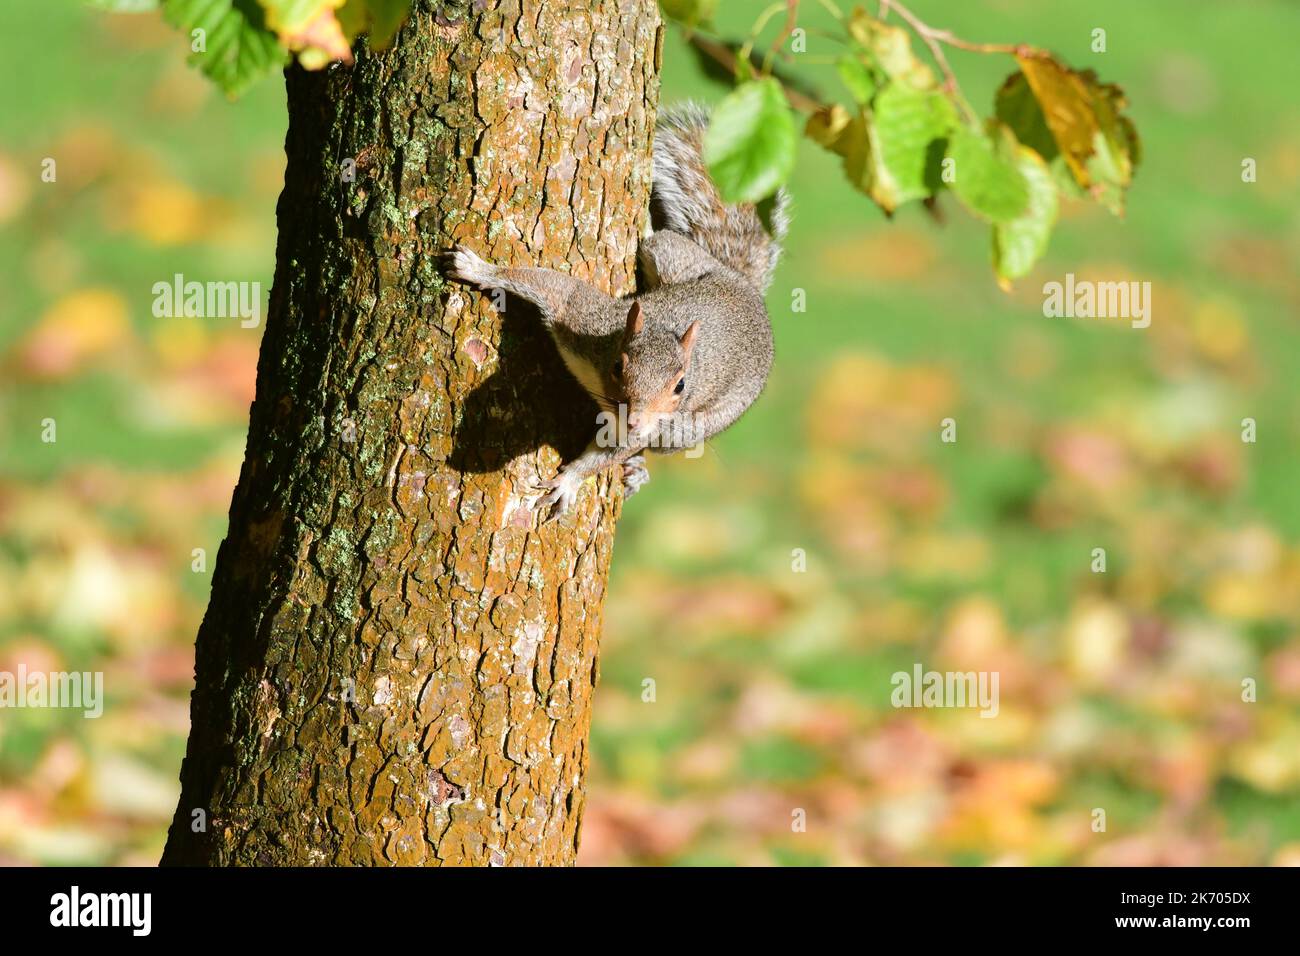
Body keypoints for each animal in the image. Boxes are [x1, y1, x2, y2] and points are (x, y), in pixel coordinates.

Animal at [446, 103, 789, 519]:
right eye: (618, 366)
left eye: (681, 386)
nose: (637, 419)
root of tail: (745, 288)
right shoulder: (583, 319)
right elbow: (550, 286)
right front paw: (480, 269)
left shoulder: (650, 423)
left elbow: (611, 451)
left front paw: (568, 482)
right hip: (674, 257)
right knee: (656, 244)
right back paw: (646, 224)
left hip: (684, 430)